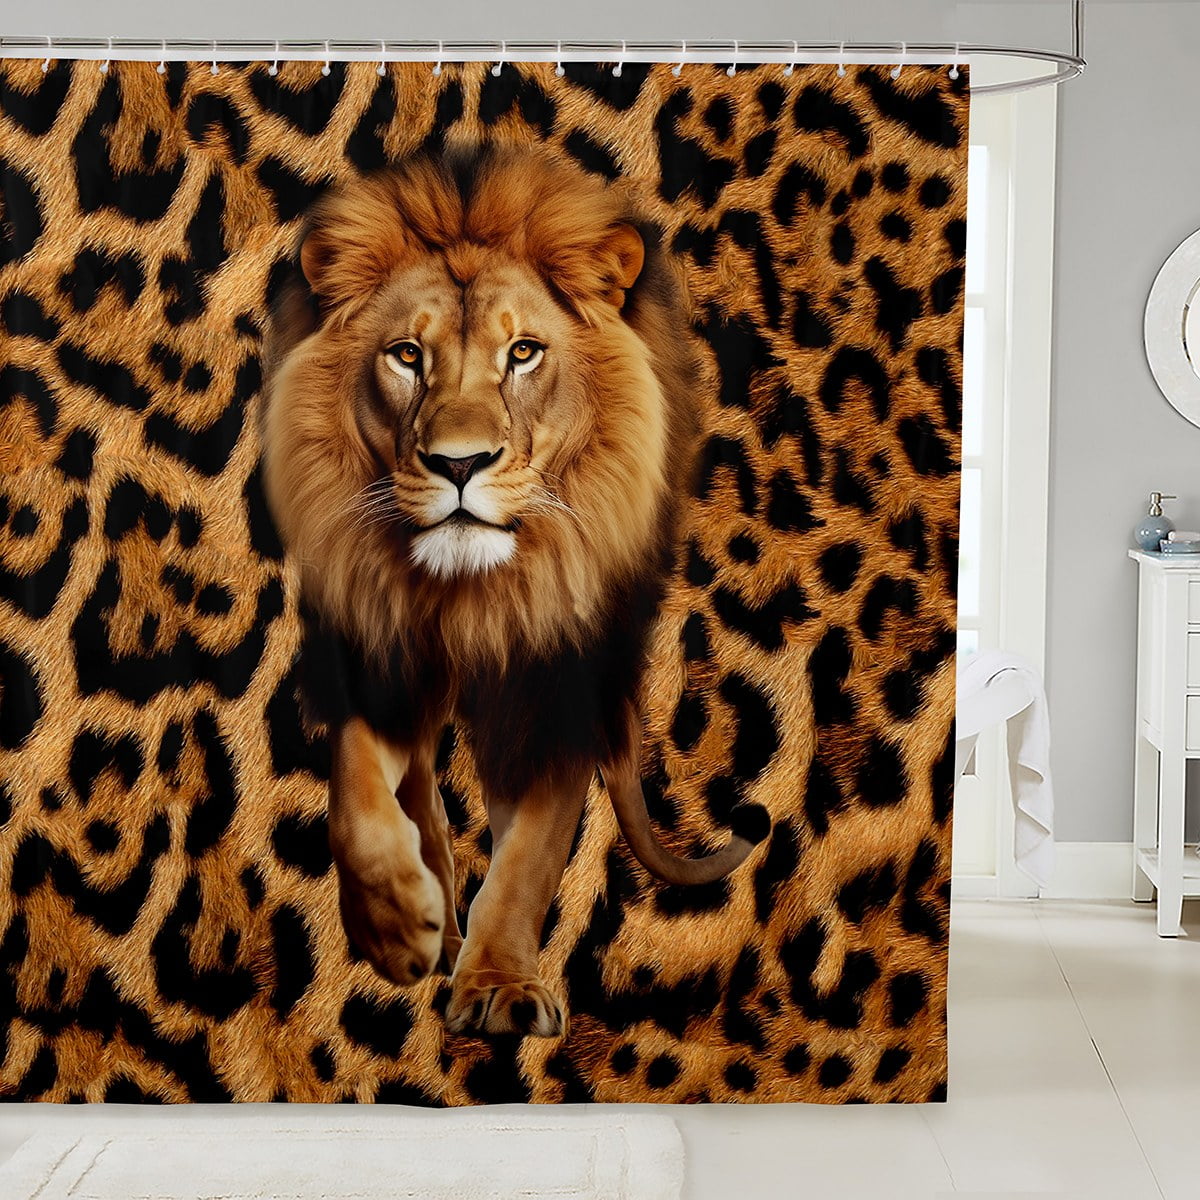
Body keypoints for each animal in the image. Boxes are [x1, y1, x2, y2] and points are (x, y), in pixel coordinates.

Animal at [261, 145, 769, 1037]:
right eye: (406, 355)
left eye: (524, 353)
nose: (459, 464)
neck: (472, 597)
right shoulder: (379, 651)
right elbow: (355, 792)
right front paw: (396, 925)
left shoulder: (556, 688)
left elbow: (529, 855)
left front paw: (497, 983)